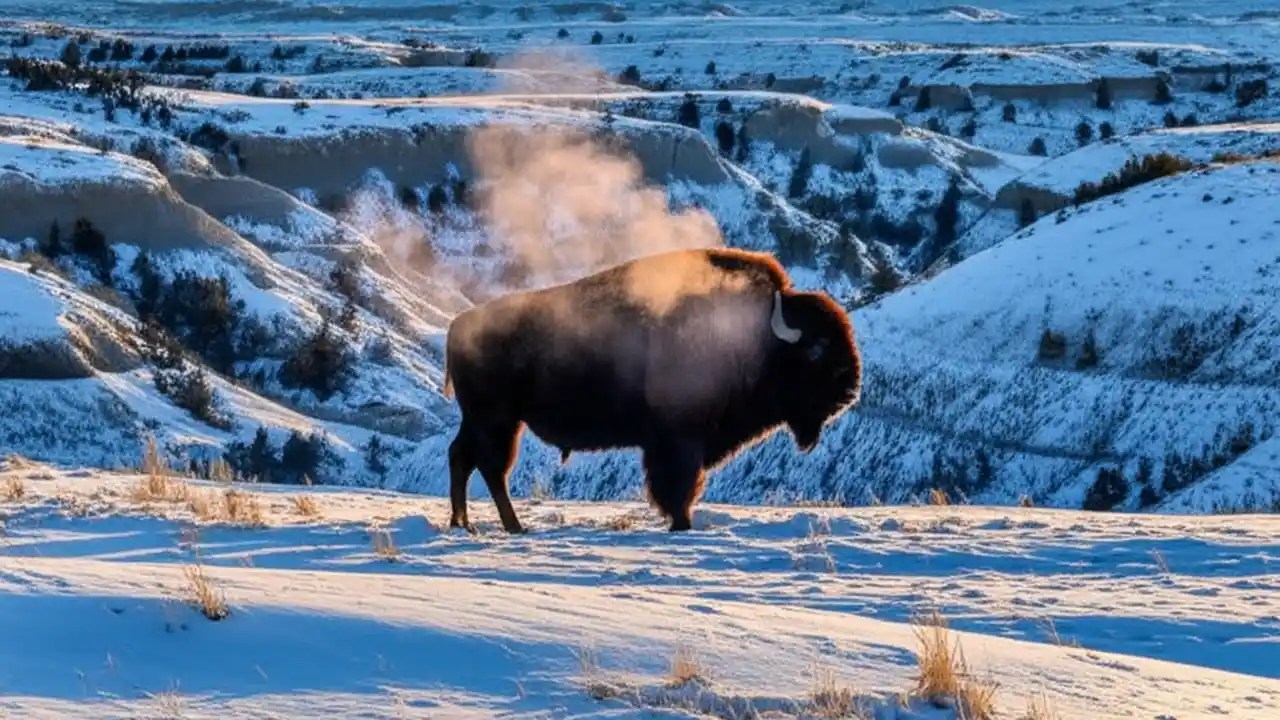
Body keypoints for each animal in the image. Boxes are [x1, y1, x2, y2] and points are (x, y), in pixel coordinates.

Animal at [442, 247, 862, 532]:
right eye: (816, 348)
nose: (850, 389)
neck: (758, 336)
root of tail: (458, 325)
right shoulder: (677, 441)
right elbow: (677, 486)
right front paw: (681, 524)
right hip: (497, 420)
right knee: (491, 467)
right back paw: (511, 527)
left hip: (487, 420)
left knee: (462, 457)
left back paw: (464, 523)